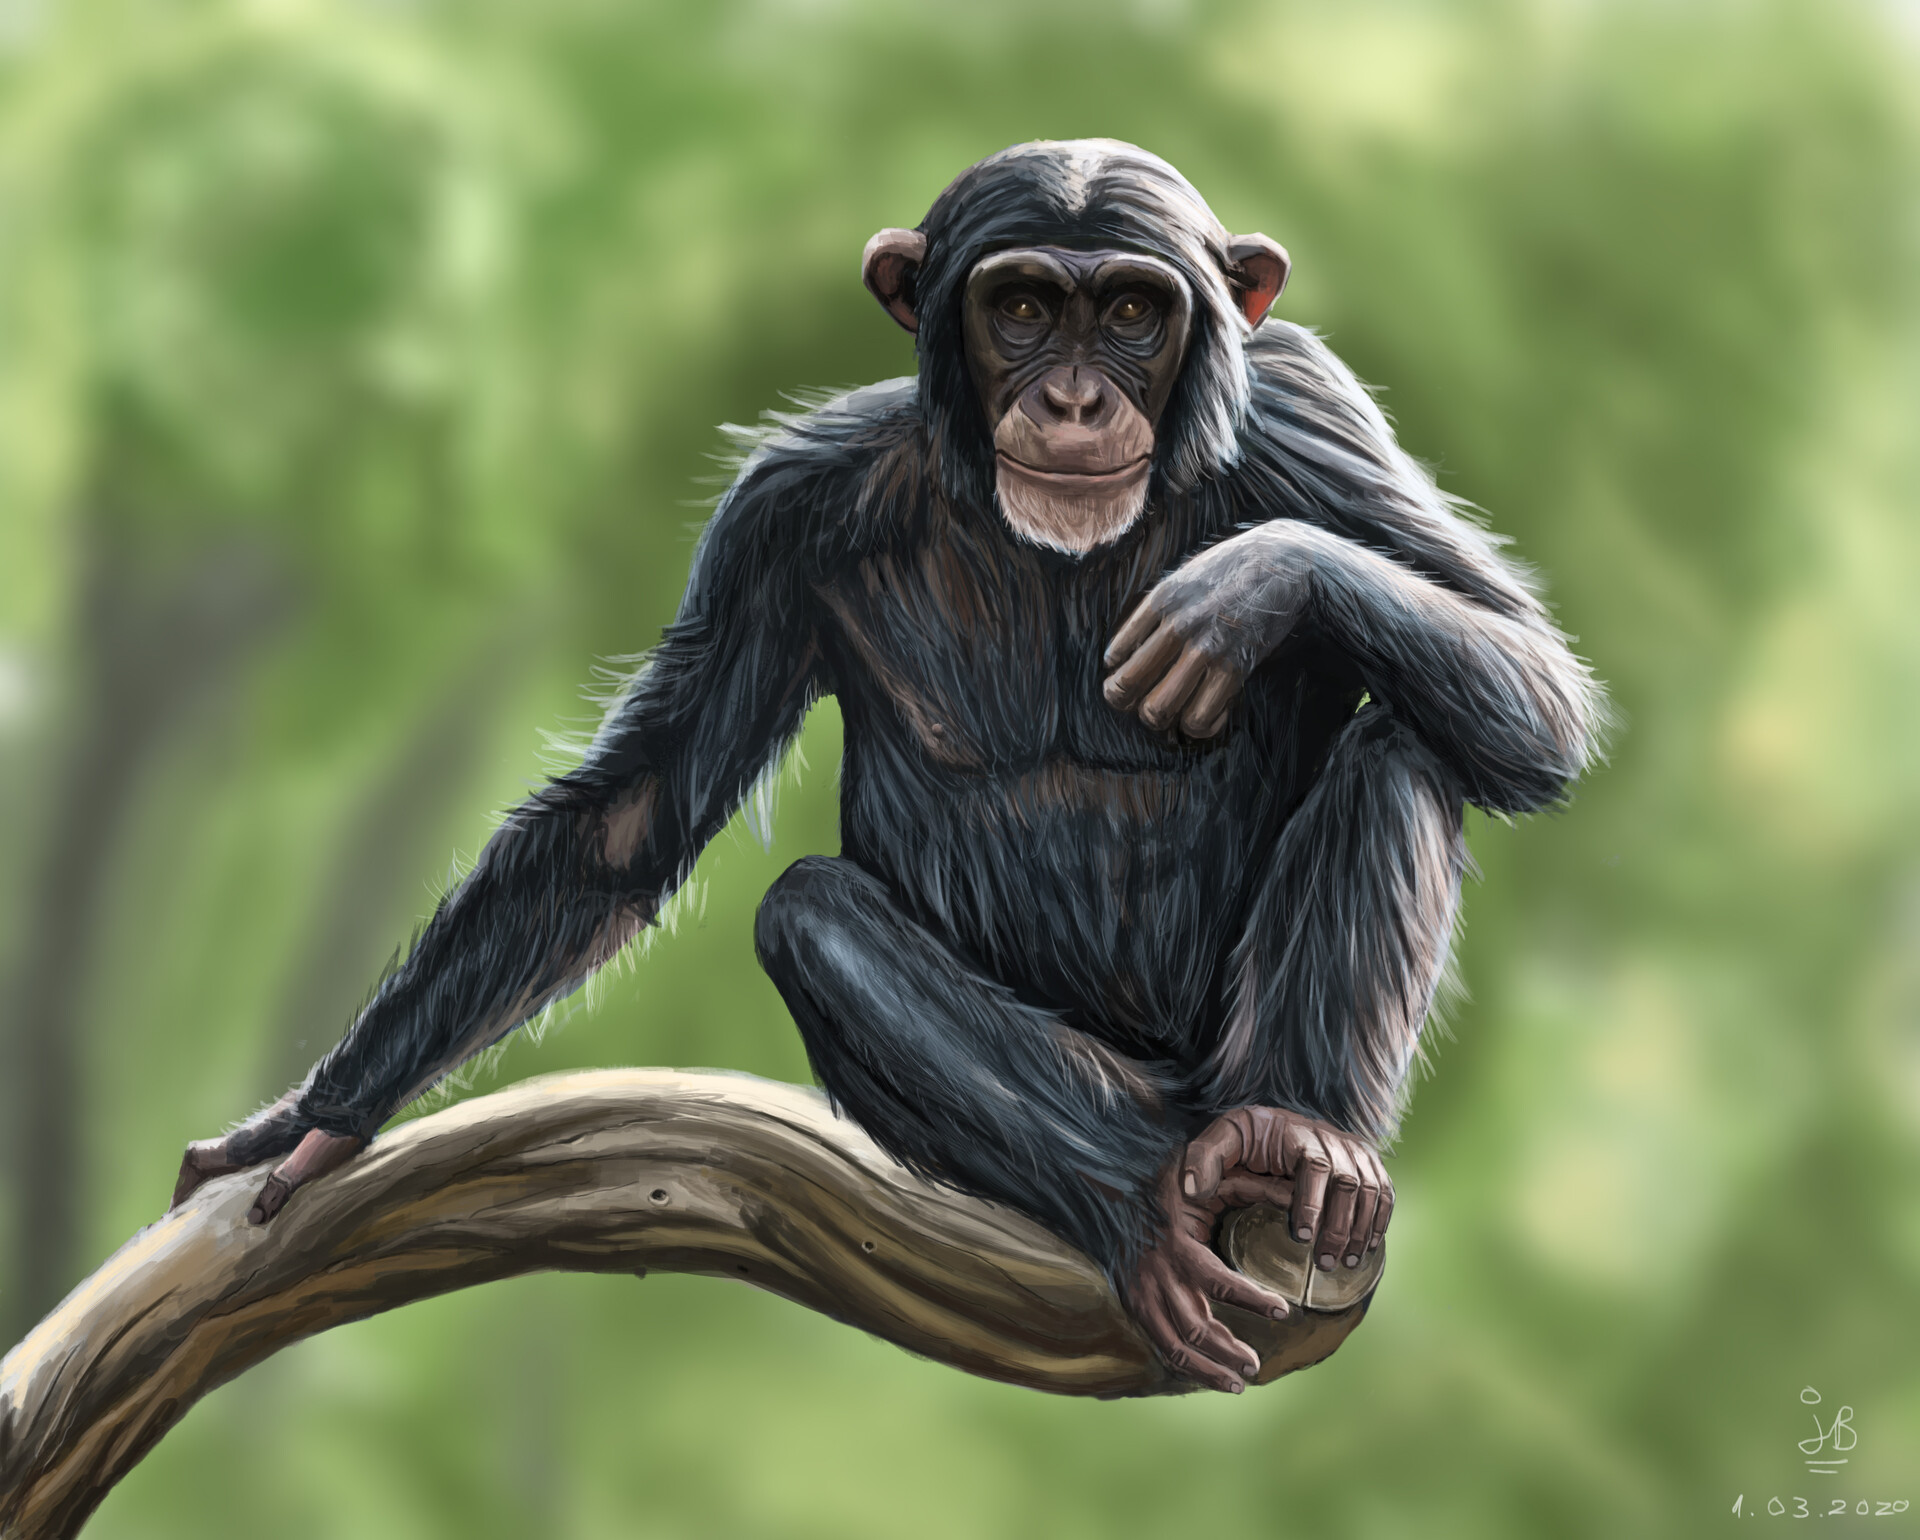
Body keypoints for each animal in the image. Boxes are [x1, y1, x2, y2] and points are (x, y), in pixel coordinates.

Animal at [173, 140, 1604, 1394]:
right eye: (1020, 307)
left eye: (1133, 311)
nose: (1074, 398)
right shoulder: (780, 510)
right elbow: (635, 815)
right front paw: (312, 1120)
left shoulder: (1316, 406)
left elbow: (1534, 682)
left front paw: (1251, 585)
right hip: (1103, 1111)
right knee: (812, 912)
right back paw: (1140, 1204)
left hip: (1226, 1064)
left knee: (1408, 741)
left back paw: (1300, 1135)